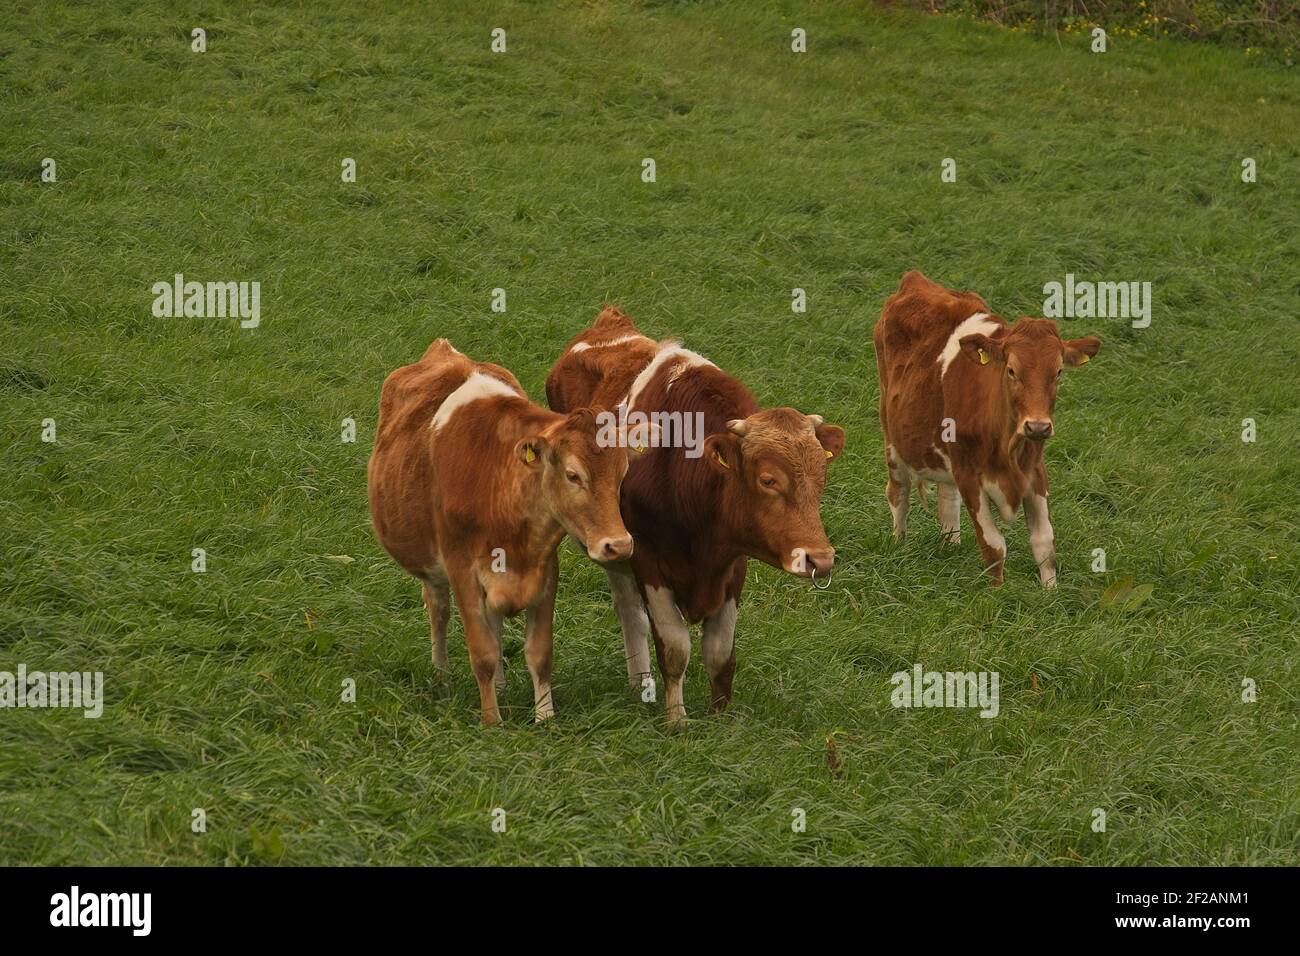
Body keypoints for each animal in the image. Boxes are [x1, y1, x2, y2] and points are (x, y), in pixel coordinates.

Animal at [367, 339, 636, 725]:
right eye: (573, 475)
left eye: (621, 473)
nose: (619, 545)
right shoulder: (461, 568)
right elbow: (482, 652)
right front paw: (491, 721)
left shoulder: (545, 567)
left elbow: (539, 653)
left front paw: (545, 719)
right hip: (435, 570)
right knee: (438, 610)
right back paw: (442, 676)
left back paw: (502, 687)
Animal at [546, 306, 846, 725]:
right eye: (768, 480)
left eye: (821, 478)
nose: (820, 558)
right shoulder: (648, 558)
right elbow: (675, 647)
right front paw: (678, 721)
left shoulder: (732, 562)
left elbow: (720, 654)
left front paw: (721, 718)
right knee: (628, 609)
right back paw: (641, 682)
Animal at [873, 271, 1102, 585]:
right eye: (1011, 370)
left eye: (1058, 372)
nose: (1038, 426)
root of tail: (915, 279)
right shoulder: (969, 473)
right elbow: (994, 547)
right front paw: (998, 591)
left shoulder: (1035, 471)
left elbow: (1044, 544)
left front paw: (1050, 592)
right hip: (892, 434)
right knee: (898, 491)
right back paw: (898, 543)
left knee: (948, 499)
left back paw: (951, 546)